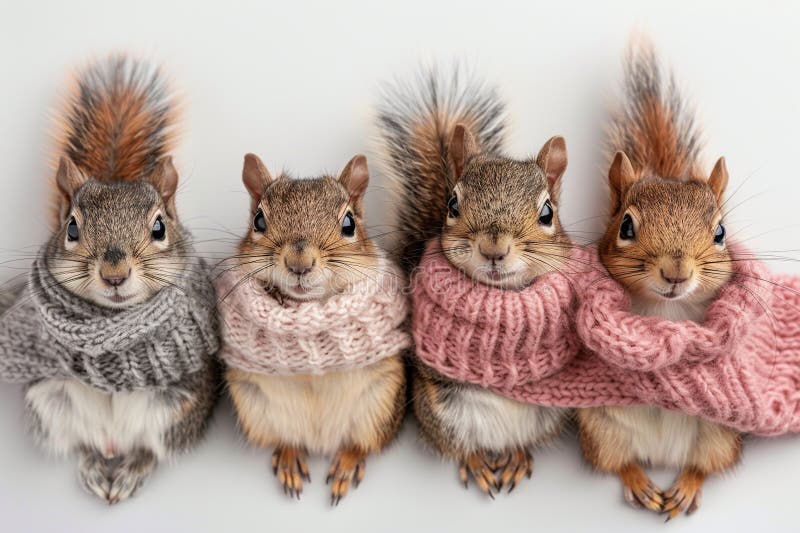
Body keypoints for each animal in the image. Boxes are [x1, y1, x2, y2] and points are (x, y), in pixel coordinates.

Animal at [23, 56, 218, 504]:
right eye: (71, 228)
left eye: (160, 227)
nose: (114, 274)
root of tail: (113, 442)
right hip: (49, 404)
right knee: (81, 444)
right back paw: (95, 467)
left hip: (177, 408)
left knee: (150, 449)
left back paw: (129, 471)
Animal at [224, 153, 406, 504]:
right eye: (258, 221)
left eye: (349, 224)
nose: (300, 264)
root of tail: (321, 439)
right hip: (255, 408)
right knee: (287, 439)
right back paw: (290, 458)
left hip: (380, 403)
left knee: (362, 443)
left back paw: (347, 464)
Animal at [376, 68, 572, 496]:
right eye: (452, 204)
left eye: (547, 213)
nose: (493, 248)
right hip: (440, 412)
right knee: (457, 445)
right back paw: (478, 460)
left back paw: (516, 455)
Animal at [576, 40, 740, 519]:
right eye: (626, 227)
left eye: (720, 233)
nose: (676, 272)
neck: (666, 309)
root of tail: (663, 455)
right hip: (600, 429)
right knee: (619, 462)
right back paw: (642, 483)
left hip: (721, 437)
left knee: (704, 466)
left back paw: (684, 485)